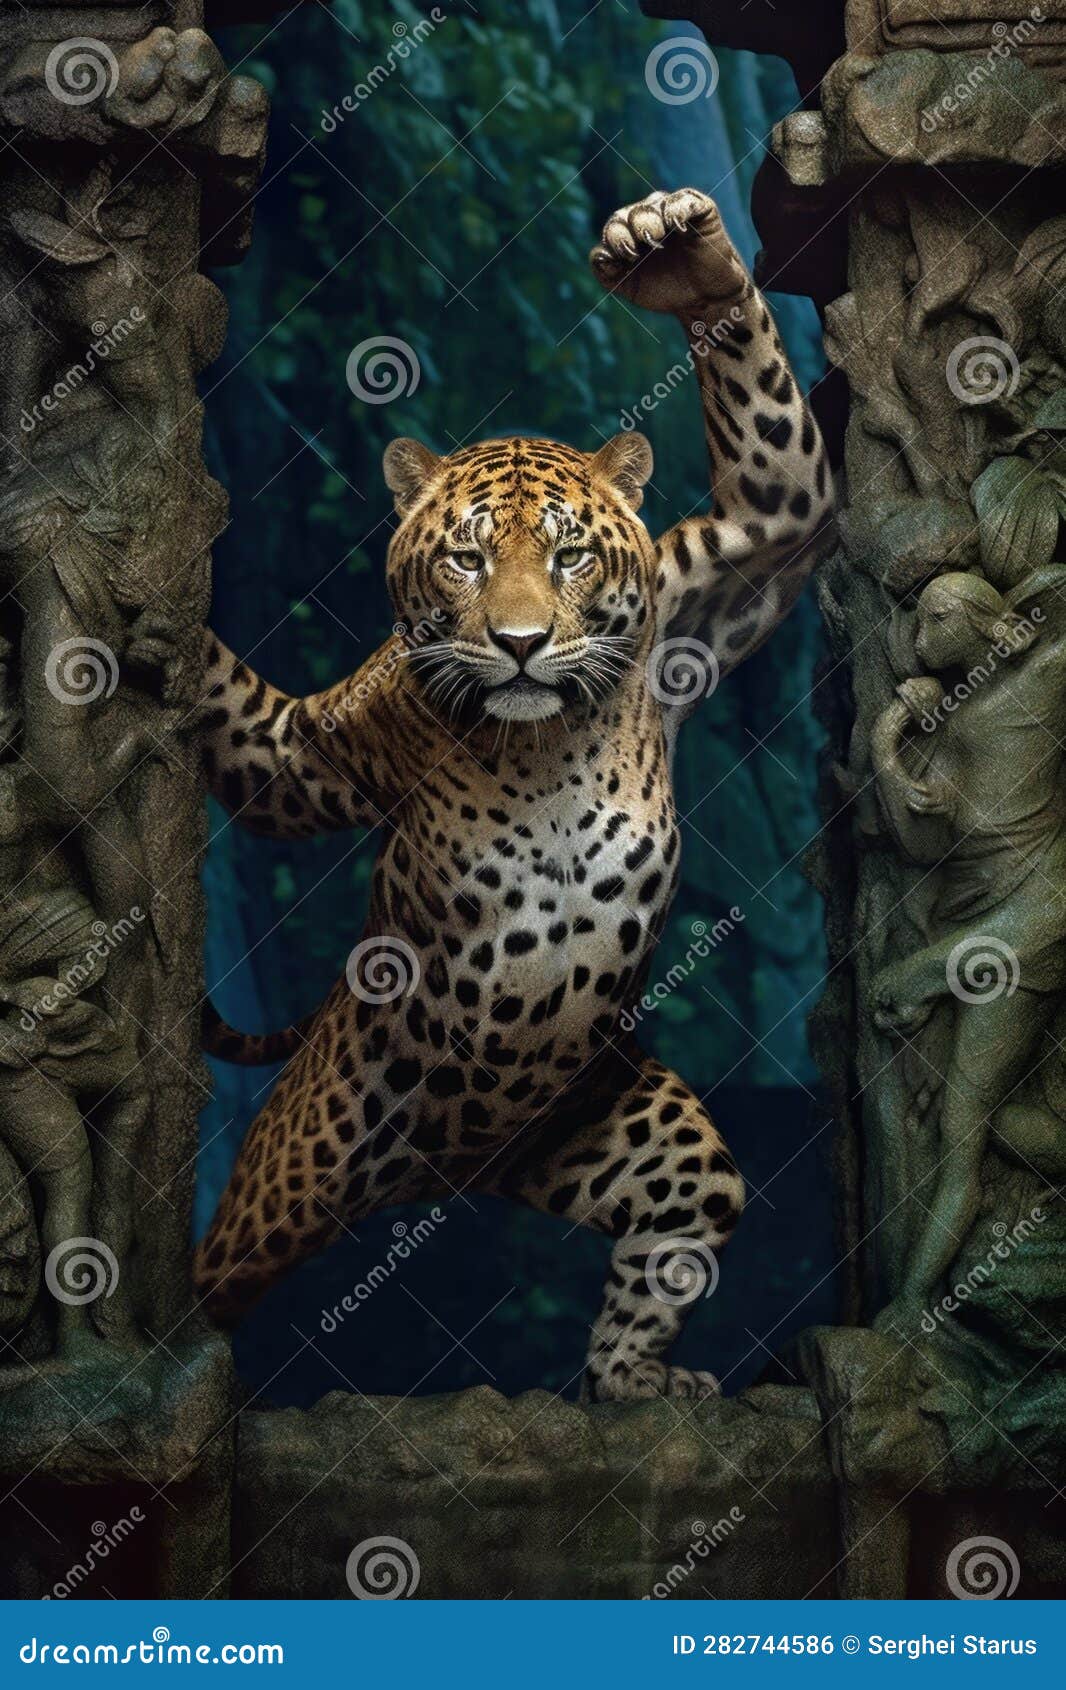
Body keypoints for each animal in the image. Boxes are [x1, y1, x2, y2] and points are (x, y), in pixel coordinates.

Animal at [192, 189, 835, 1401]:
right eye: (465, 561)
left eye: (574, 556)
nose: (524, 643)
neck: (541, 751)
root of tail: (449, 1170)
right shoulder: (315, 753)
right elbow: (248, 741)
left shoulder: (719, 579)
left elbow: (788, 495)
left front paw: (679, 253)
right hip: (297, 1165)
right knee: (204, 1281)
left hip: (616, 1122)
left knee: (681, 1223)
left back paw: (633, 1384)